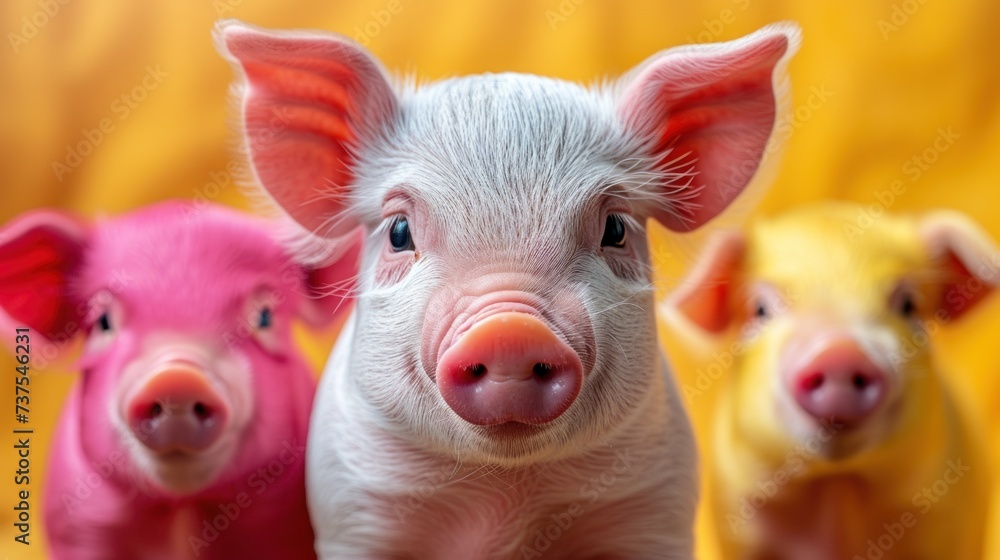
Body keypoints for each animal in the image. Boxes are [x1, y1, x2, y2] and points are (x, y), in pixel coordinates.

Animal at [215, 20, 800, 559]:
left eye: (615, 228)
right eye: (399, 232)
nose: (509, 329)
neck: (503, 494)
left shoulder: (656, 508)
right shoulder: (353, 509)